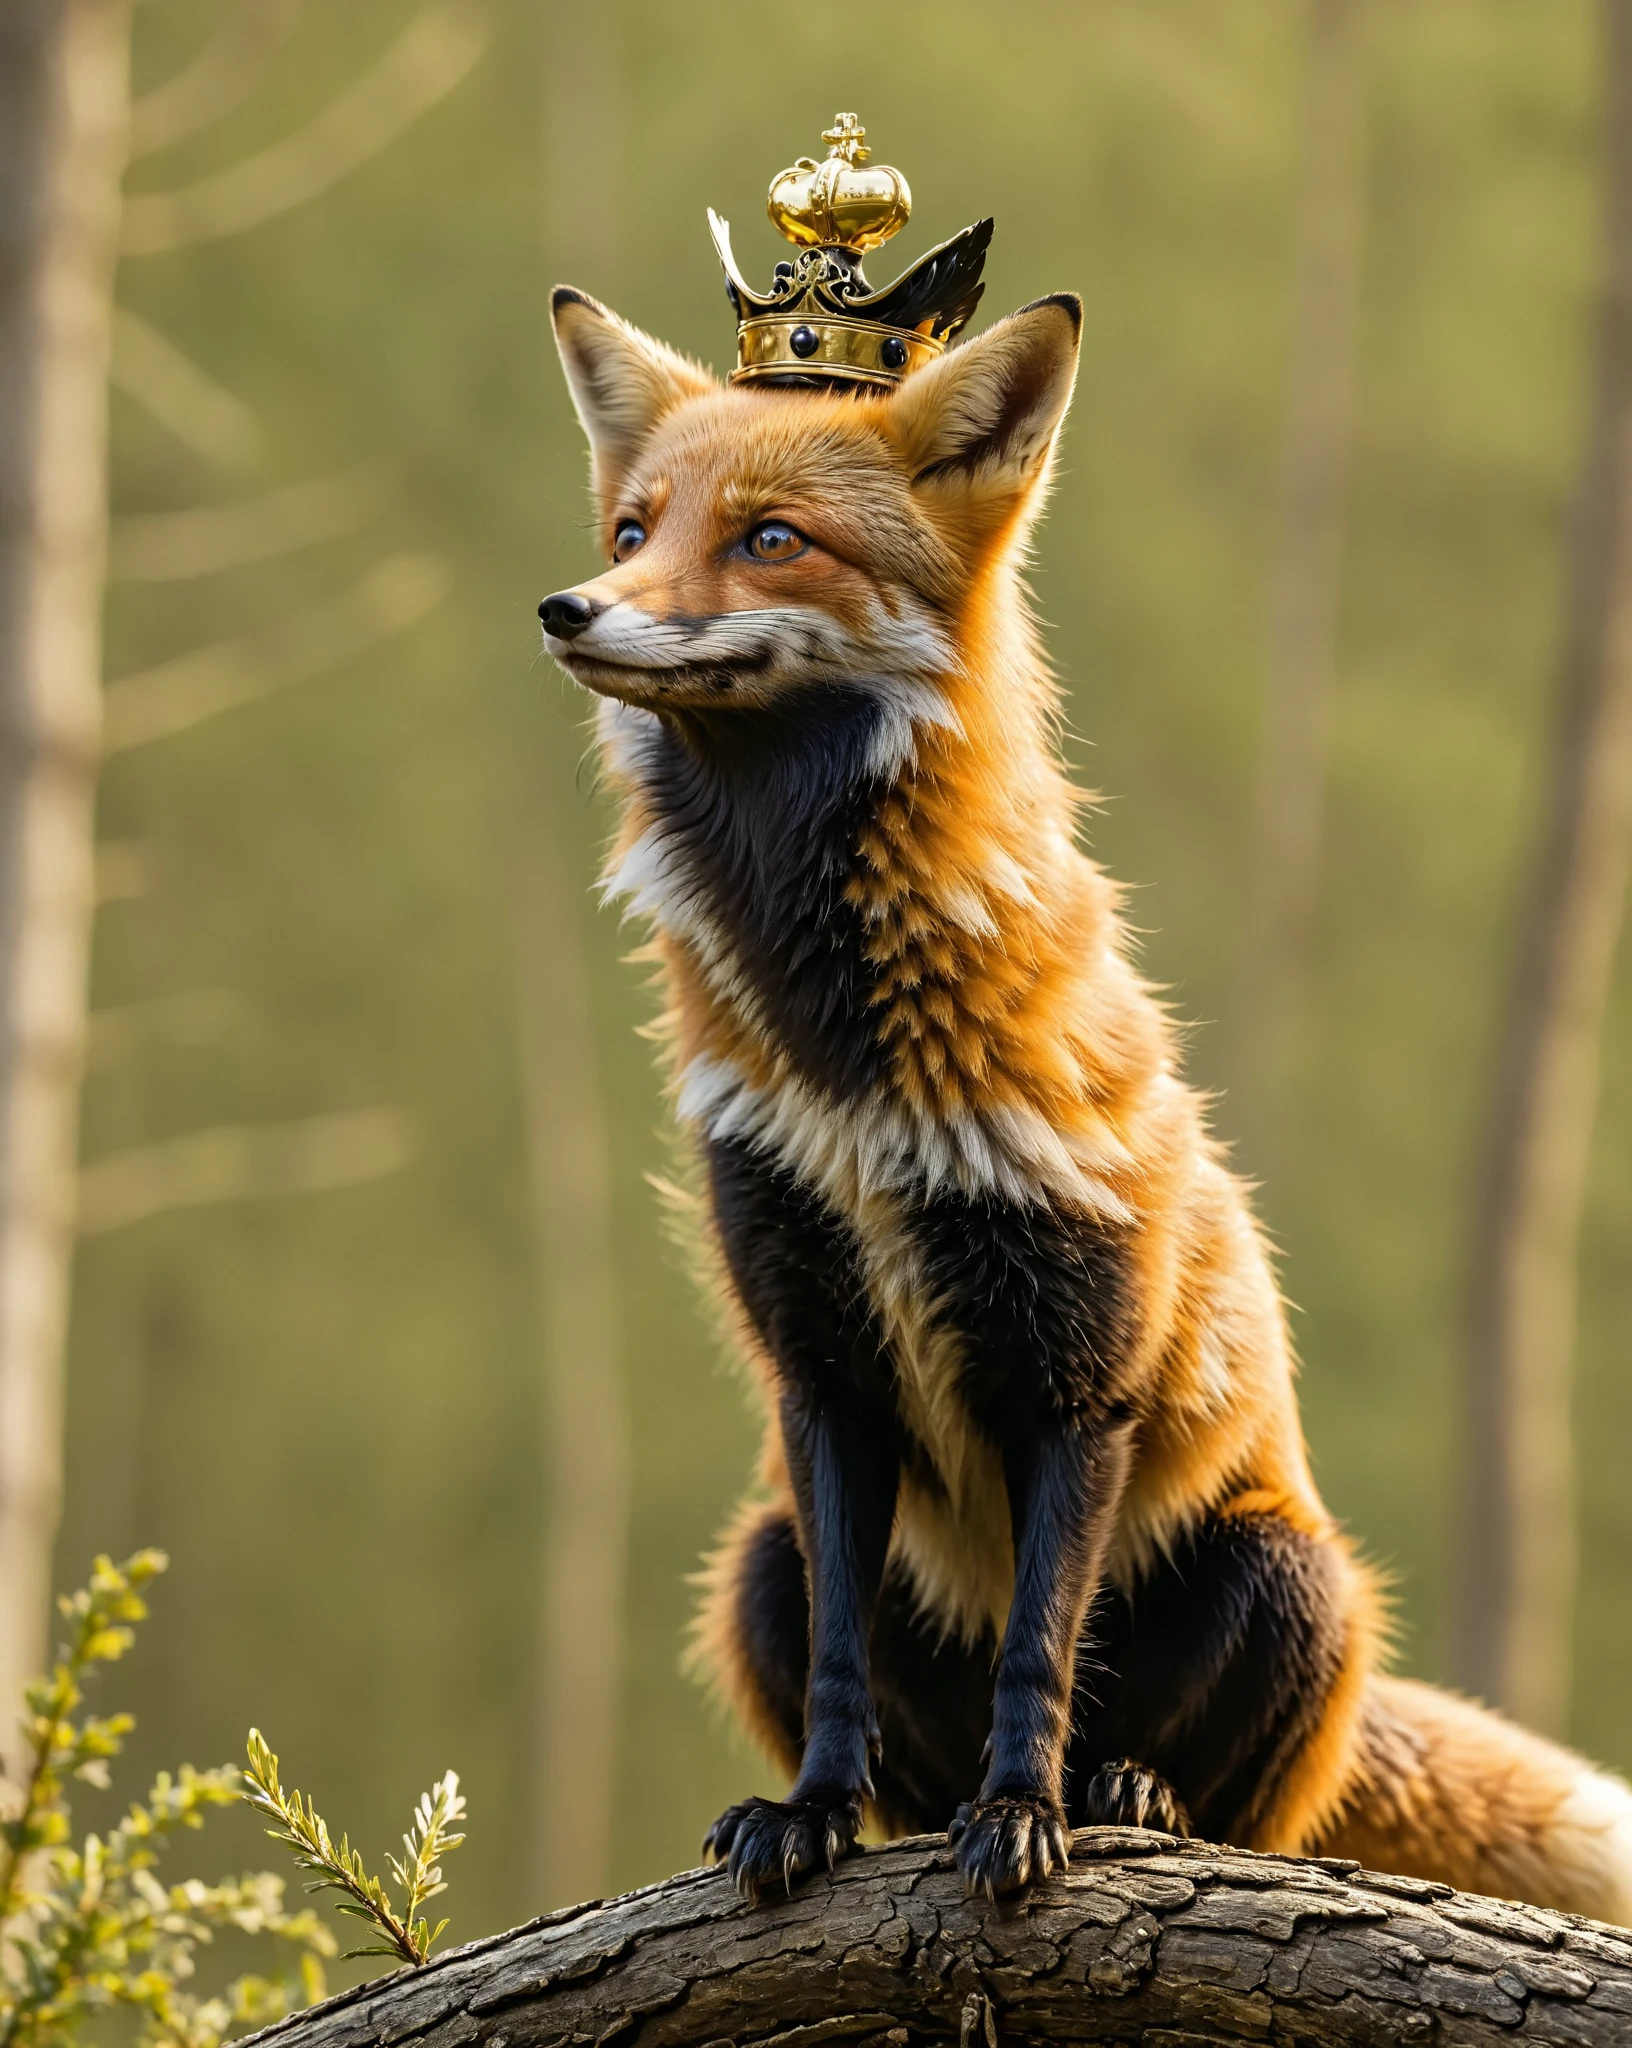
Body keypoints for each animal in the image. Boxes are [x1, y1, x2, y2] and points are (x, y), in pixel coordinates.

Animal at [539, 278, 1632, 1920]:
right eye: (630, 528)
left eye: (772, 537)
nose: (567, 608)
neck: (853, 1069)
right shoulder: (819, 1364)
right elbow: (851, 1673)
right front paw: (812, 1815)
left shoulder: (1080, 1368)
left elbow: (1040, 1655)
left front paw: (1026, 1815)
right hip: (756, 1565)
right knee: (874, 1711)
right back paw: (927, 1811)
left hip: (1286, 1577)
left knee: (1227, 1796)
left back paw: (1133, 1793)